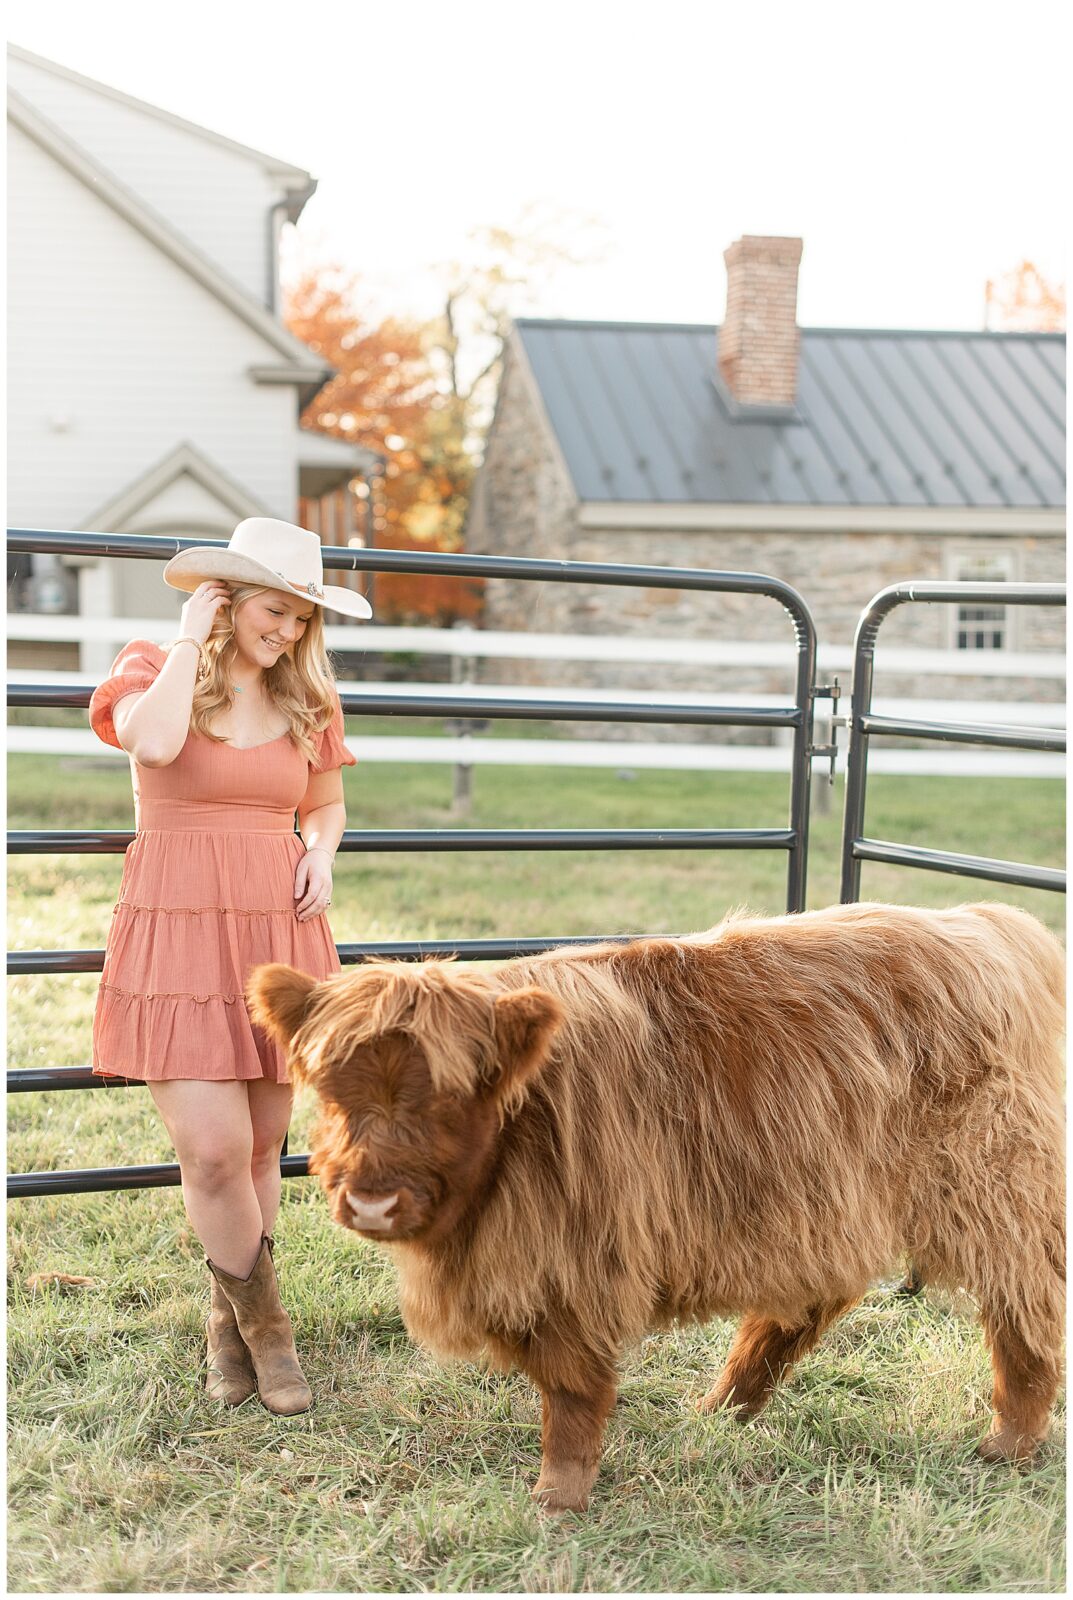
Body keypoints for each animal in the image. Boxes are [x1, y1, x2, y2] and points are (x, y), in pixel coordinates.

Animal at [246, 900, 1065, 1512]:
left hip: (995, 1188)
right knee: (813, 1298)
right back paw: (724, 1406)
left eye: (444, 1100)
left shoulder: (577, 1267)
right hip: (822, 1199)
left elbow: (572, 1387)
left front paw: (558, 1496)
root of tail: (986, 923)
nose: (371, 1203)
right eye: (332, 1095)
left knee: (1024, 1305)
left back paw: (1009, 1444)